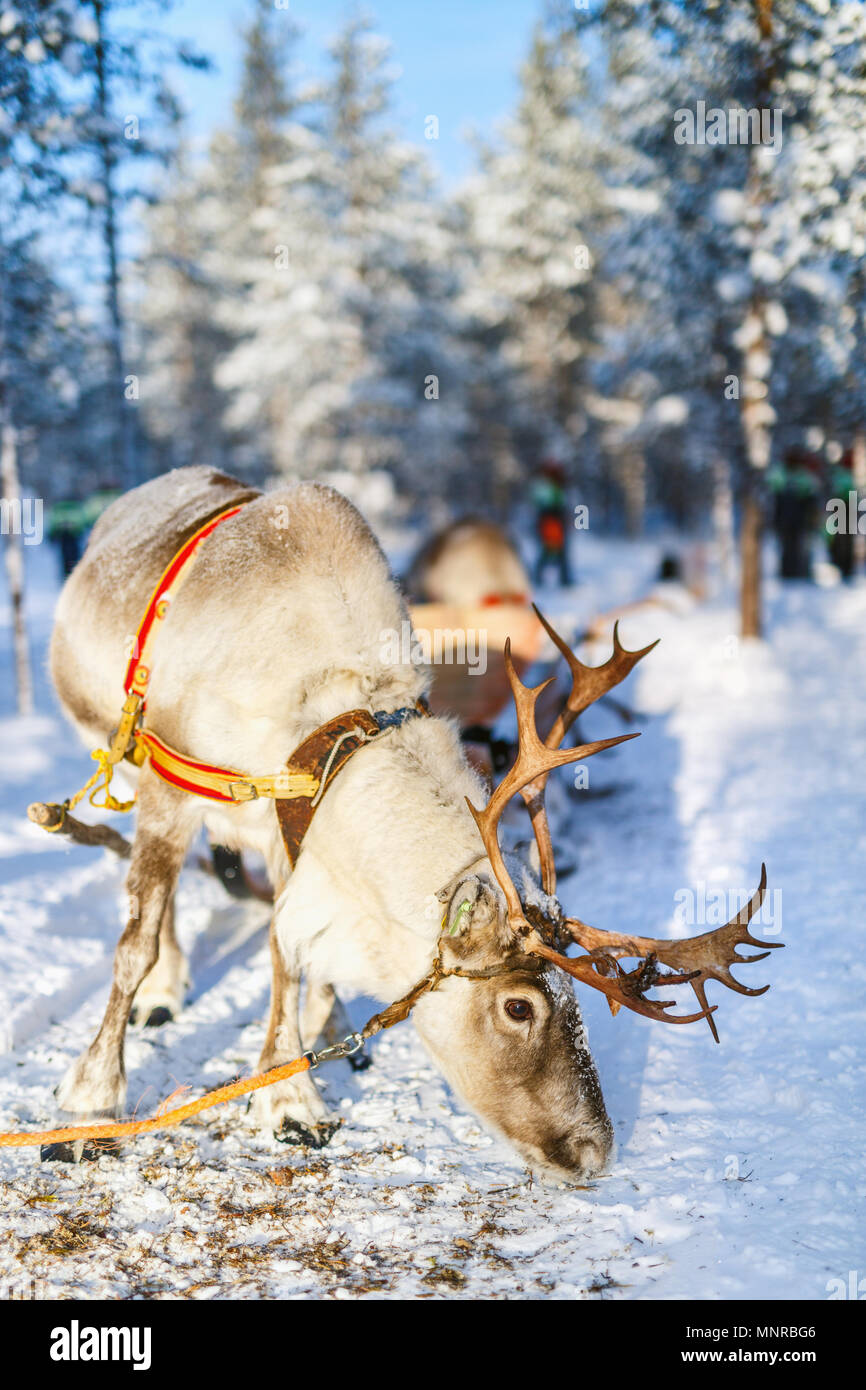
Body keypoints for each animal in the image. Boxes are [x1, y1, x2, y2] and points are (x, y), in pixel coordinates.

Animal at [42, 465, 781, 1178]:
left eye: (576, 993)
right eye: (519, 1005)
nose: (597, 1153)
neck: (332, 705)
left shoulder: (296, 823)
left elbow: (286, 955)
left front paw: (290, 1093)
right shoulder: (173, 791)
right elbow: (133, 945)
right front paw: (90, 1104)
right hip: (128, 768)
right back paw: (166, 992)